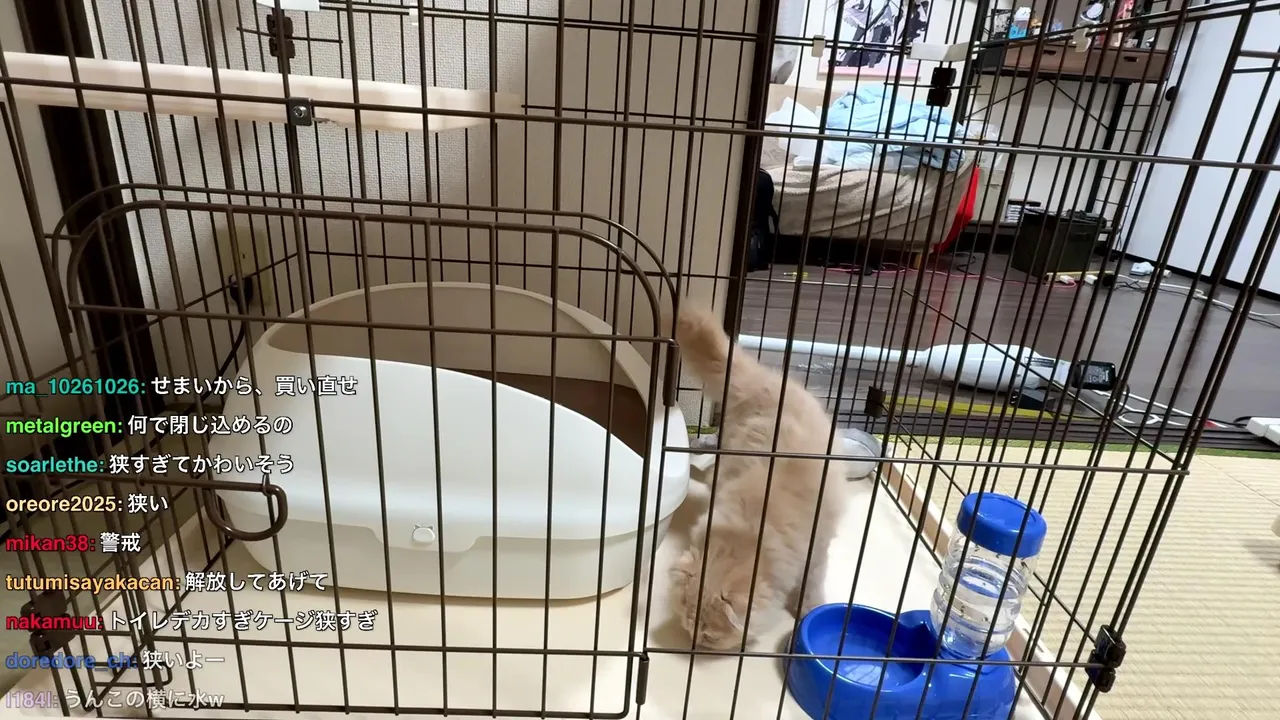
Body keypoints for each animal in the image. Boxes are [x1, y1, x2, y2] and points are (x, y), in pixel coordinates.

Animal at [668, 305, 848, 651]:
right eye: (686, 618)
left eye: (709, 635)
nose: (693, 640)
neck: (752, 532)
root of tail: (762, 378)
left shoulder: (818, 547)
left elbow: (813, 582)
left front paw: (809, 606)